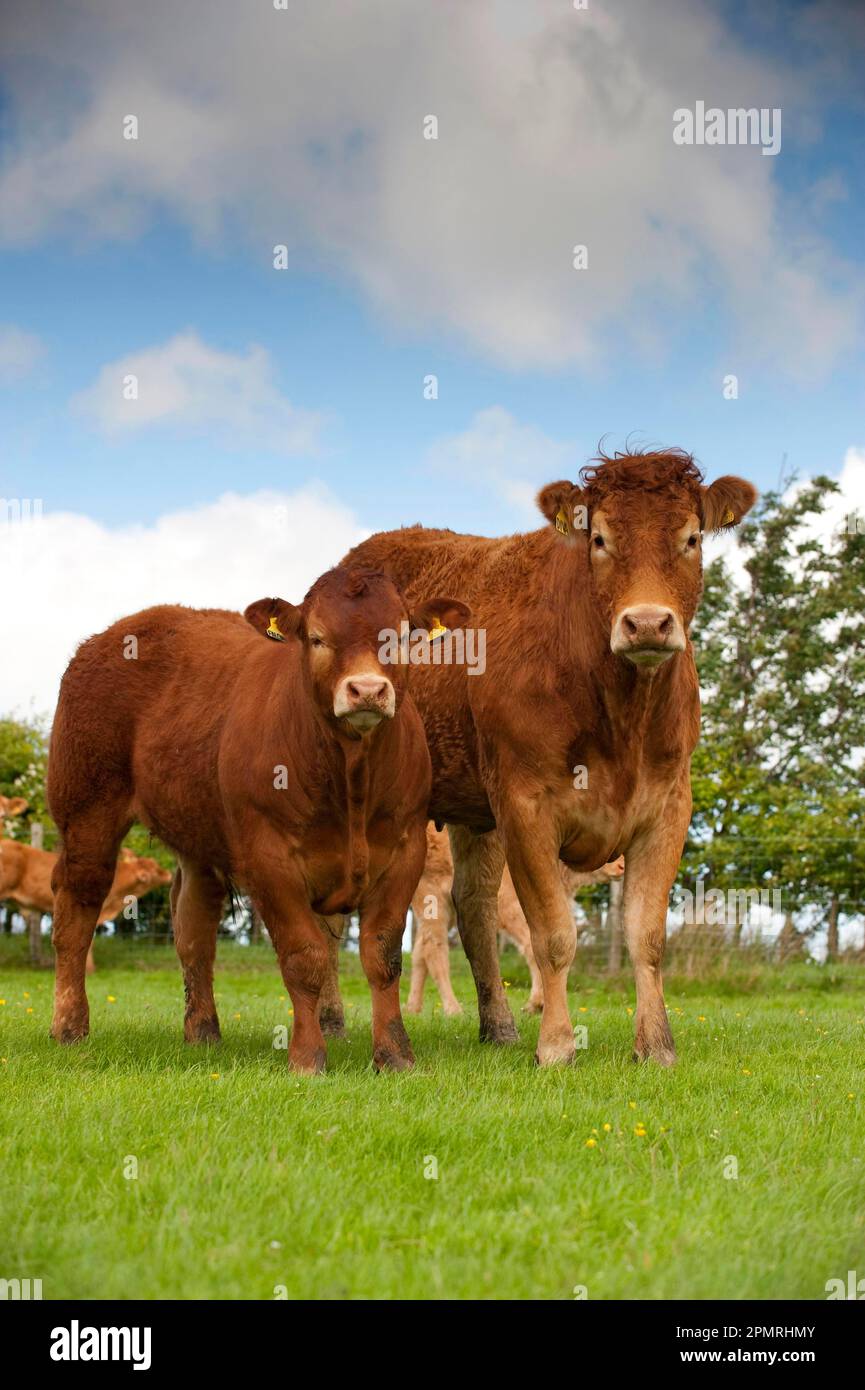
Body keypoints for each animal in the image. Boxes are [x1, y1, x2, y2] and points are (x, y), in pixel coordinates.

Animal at [46, 567, 469, 1073]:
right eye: (316, 638)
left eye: (400, 637)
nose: (366, 690)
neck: (351, 777)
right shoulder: (269, 858)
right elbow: (304, 958)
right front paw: (307, 1057)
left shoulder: (405, 851)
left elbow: (382, 956)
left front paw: (395, 1055)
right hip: (86, 811)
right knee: (75, 913)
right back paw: (69, 1026)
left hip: (196, 836)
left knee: (194, 927)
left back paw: (203, 1031)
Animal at [404, 824, 625, 1017]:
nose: (622, 866)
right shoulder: (509, 908)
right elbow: (533, 946)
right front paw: (537, 1004)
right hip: (433, 899)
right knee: (434, 950)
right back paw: (453, 1009)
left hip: (448, 908)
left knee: (420, 951)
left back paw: (413, 1008)